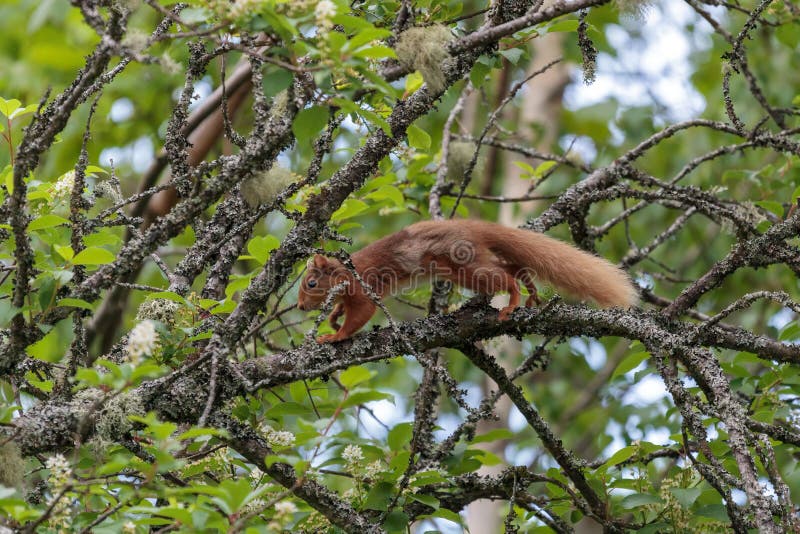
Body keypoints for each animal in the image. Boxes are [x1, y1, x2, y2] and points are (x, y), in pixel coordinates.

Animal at [297, 219, 638, 343]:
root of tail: (473, 227)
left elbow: (360, 316)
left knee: (504, 277)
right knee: (512, 266)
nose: (299, 306)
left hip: (468, 268)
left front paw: (335, 335)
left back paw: (514, 300)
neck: (346, 272)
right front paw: (333, 315)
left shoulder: (364, 289)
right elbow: (344, 309)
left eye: (311, 283)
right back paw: (528, 287)